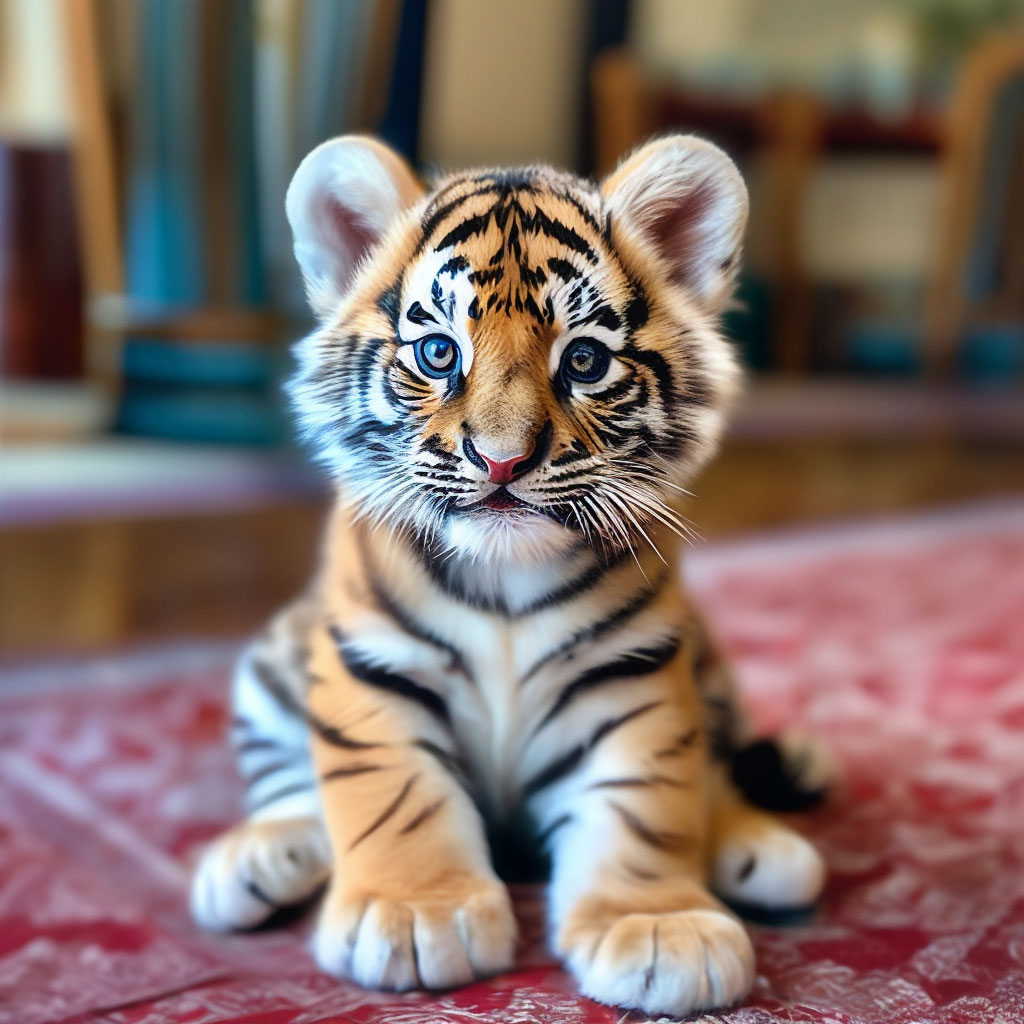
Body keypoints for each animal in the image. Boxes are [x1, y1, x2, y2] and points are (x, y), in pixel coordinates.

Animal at [190, 134, 829, 1019]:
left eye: (584, 360)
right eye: (438, 353)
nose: (501, 461)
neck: (503, 582)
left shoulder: (631, 676)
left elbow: (646, 800)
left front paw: (660, 929)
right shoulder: (371, 668)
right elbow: (392, 792)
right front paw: (414, 917)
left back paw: (759, 847)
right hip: (272, 663)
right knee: (286, 778)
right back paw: (257, 858)